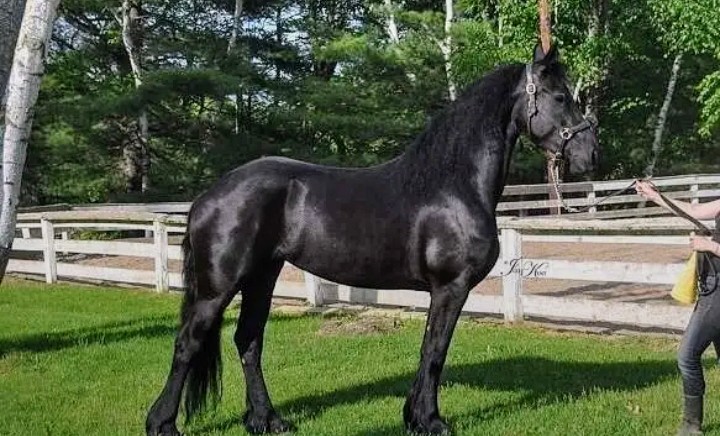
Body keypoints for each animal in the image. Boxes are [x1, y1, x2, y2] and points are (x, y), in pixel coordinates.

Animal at [146, 44, 599, 436]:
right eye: (560, 97)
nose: (590, 154)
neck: (454, 183)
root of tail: (208, 196)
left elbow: (428, 349)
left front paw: (414, 417)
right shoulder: (450, 287)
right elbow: (435, 352)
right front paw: (431, 420)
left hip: (262, 276)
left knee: (248, 341)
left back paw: (267, 420)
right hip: (219, 287)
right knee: (188, 343)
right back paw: (163, 423)